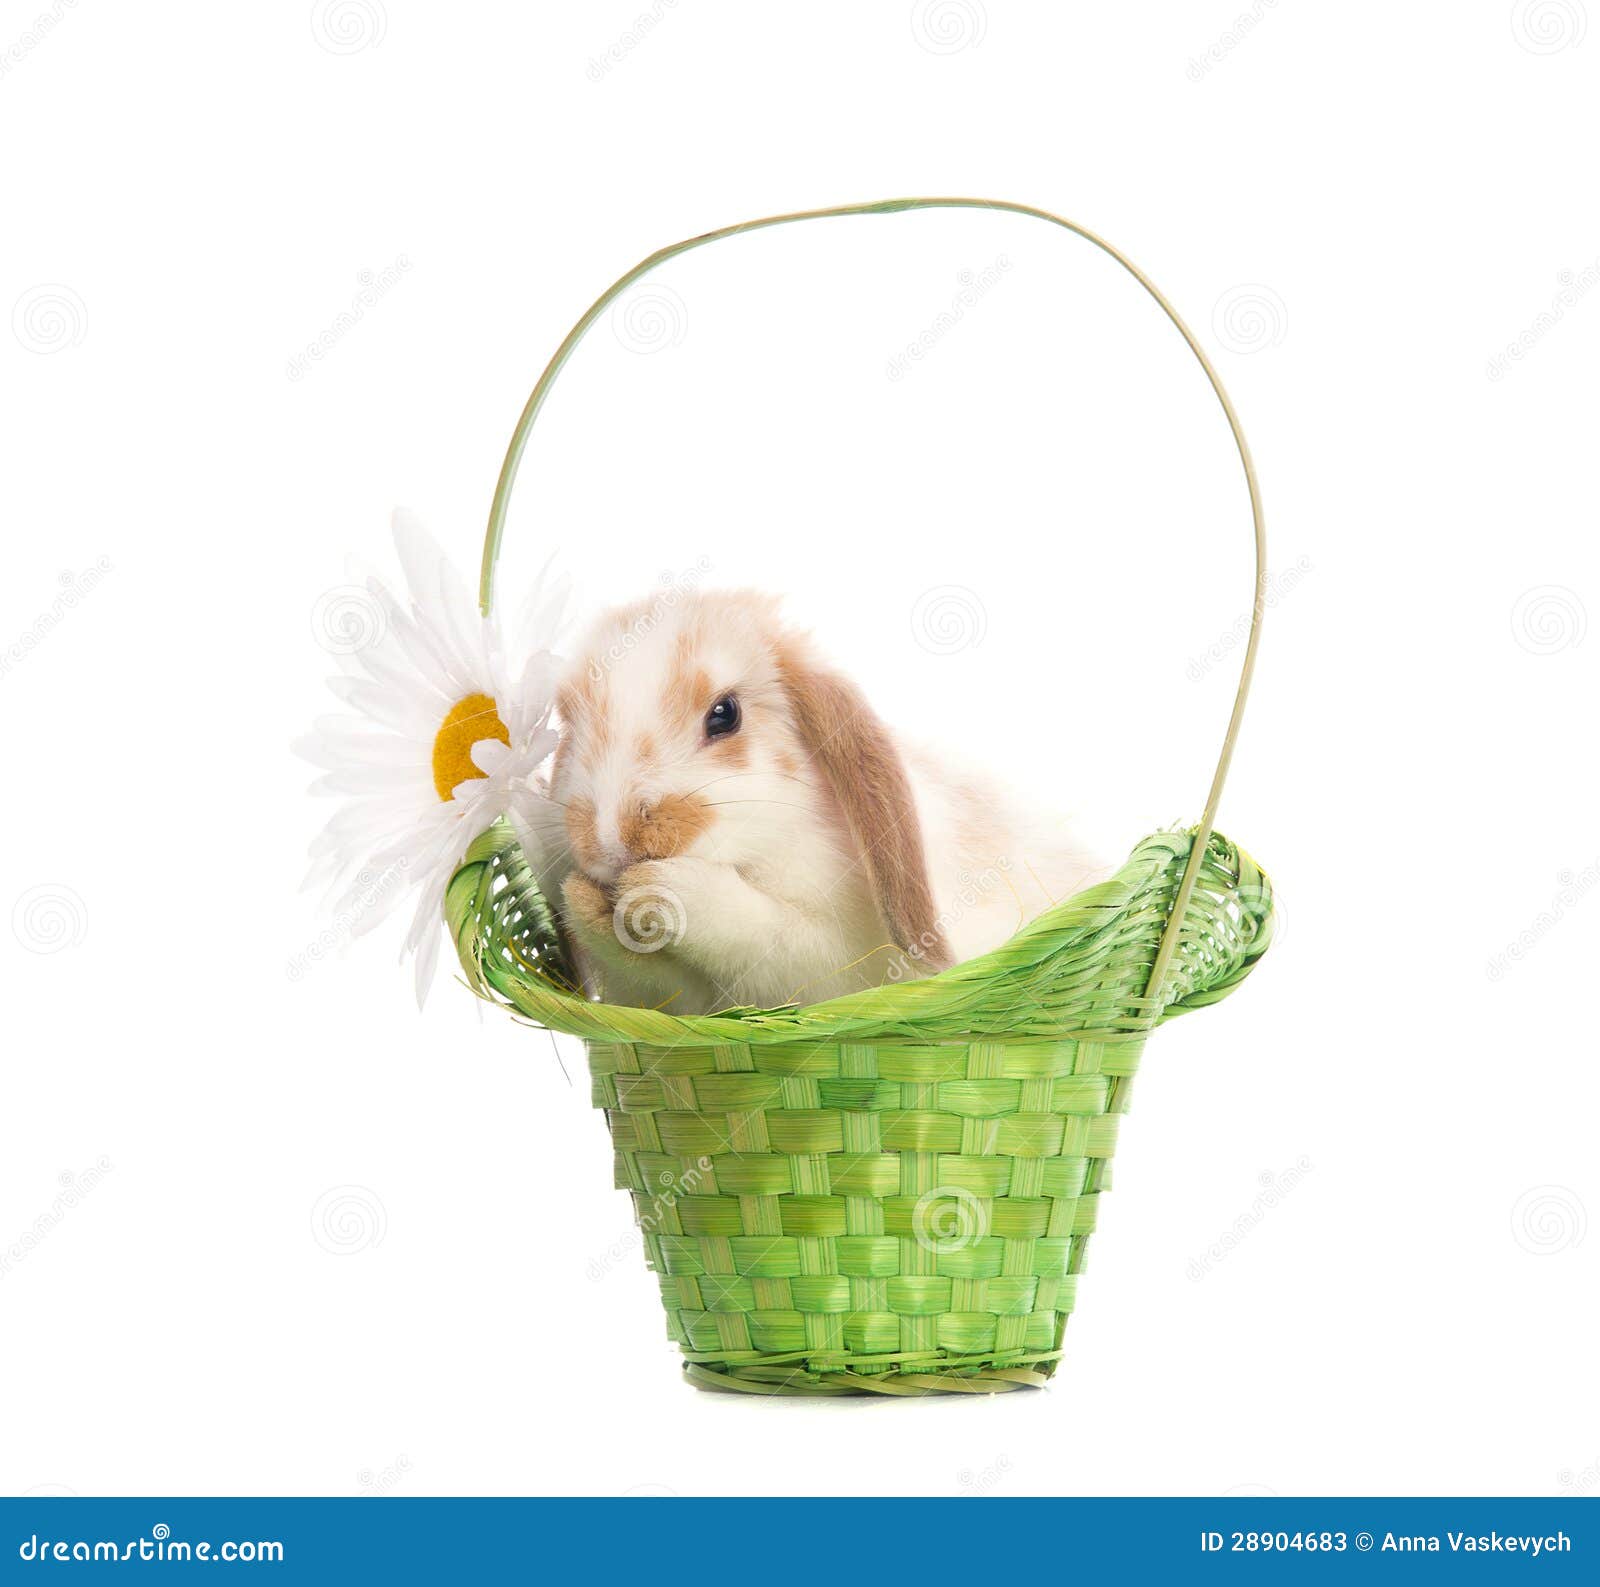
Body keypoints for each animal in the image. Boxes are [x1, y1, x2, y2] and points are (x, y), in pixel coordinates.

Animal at [541, 589, 1103, 1015]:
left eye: (725, 714)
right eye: (568, 722)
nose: (611, 839)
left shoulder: (832, 970)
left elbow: (762, 932)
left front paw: (661, 890)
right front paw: (583, 899)